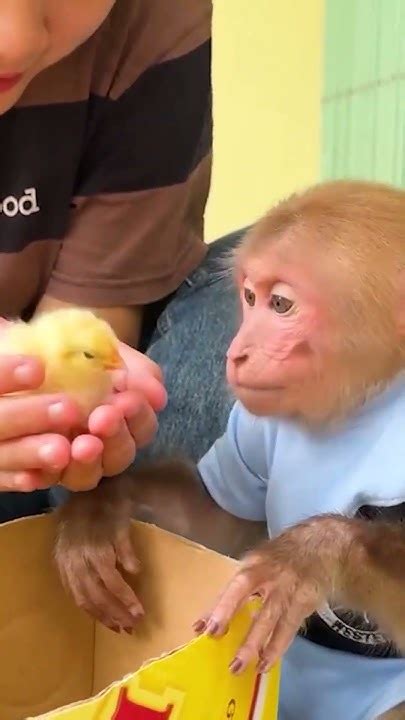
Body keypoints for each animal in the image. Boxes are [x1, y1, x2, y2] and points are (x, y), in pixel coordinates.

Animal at [54, 180, 405, 719]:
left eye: (280, 305)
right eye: (250, 297)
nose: (237, 351)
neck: (365, 400)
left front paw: (309, 555)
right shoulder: (251, 427)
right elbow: (219, 524)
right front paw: (99, 508)